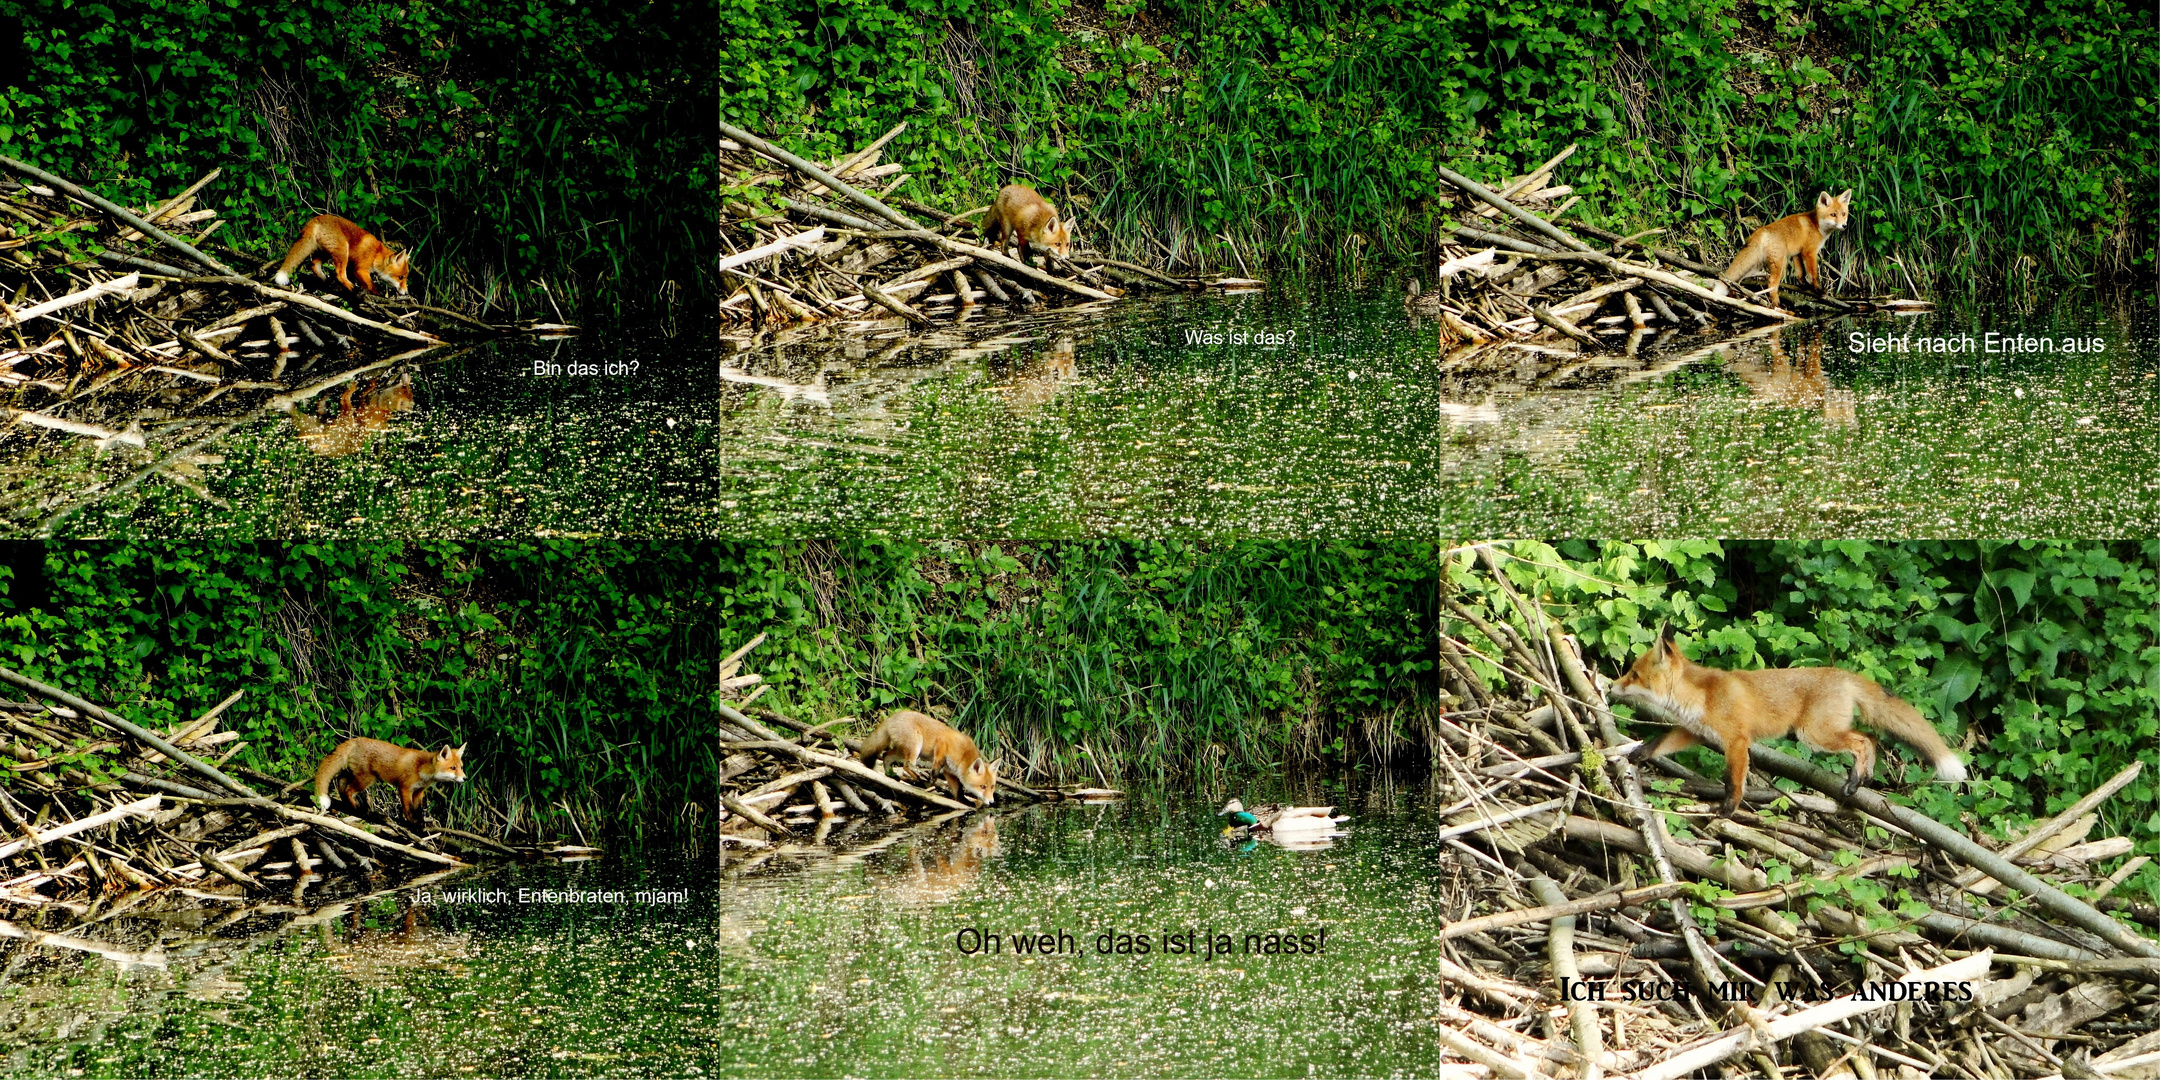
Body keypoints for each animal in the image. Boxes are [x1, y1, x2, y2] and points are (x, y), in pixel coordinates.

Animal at [274, 215, 413, 296]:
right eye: (401, 277)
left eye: (406, 277)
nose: (406, 293)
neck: (376, 255)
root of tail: (316, 219)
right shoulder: (360, 269)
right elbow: (371, 285)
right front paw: (375, 293)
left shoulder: (355, 270)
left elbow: (366, 284)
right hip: (343, 250)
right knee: (339, 274)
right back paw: (349, 287)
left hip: (327, 252)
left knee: (314, 265)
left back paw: (326, 281)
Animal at [312, 738, 468, 823]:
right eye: (452, 768)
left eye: (461, 767)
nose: (465, 778)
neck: (421, 769)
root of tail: (354, 739)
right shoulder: (405, 788)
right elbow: (408, 809)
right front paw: (411, 822)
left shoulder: (419, 791)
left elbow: (418, 809)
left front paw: (421, 823)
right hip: (367, 779)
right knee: (348, 790)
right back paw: (358, 808)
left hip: (356, 775)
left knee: (341, 782)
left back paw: (349, 805)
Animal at [854, 709, 998, 806]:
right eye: (983, 787)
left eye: (992, 786)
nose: (992, 802)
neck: (963, 755)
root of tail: (893, 716)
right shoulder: (942, 744)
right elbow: (937, 763)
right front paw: (933, 776)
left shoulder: (949, 772)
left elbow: (958, 790)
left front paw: (963, 801)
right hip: (915, 746)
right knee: (906, 765)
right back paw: (920, 777)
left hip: (901, 752)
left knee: (886, 755)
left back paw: (891, 774)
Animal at [1610, 625, 1964, 817]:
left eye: (1634, 675)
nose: (1612, 686)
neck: (1702, 695)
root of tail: (1843, 673)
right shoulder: (1694, 732)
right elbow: (1657, 744)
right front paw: (1636, 755)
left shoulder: (1737, 740)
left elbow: (1733, 781)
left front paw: (1728, 809)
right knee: (1872, 738)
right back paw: (1864, 777)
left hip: (1813, 734)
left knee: (1865, 739)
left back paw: (1856, 779)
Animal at [1720, 189, 1852, 311]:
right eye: (1833, 215)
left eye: (1844, 214)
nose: (1844, 226)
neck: (1816, 226)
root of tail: (1761, 230)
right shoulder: (1809, 252)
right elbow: (1813, 274)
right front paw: (1818, 290)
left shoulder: (1797, 253)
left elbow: (1800, 273)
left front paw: (1804, 286)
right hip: (1779, 265)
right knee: (1771, 283)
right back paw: (1776, 305)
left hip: (1755, 266)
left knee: (1735, 281)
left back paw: (1734, 298)